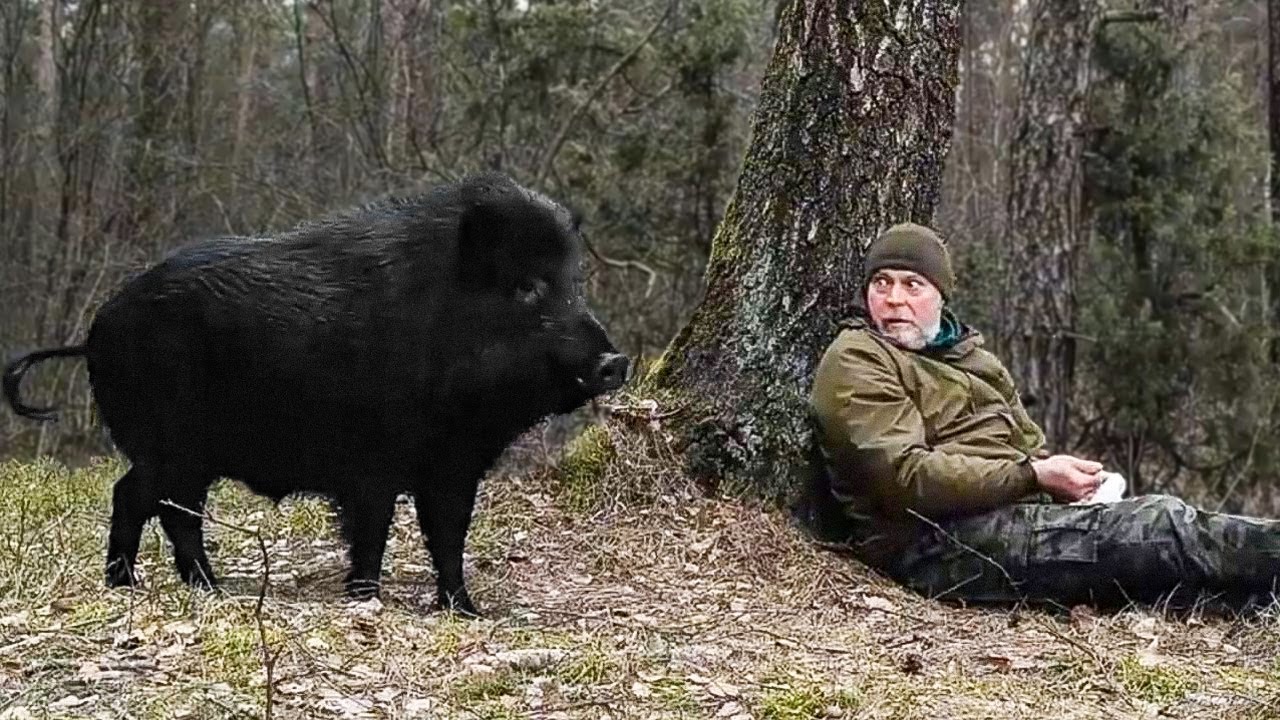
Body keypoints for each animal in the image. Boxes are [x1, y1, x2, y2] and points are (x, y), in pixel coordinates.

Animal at [3, 172, 629, 616]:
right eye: (525, 288)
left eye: (575, 284)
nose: (615, 361)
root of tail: (97, 328)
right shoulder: (373, 464)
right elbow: (374, 530)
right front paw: (365, 597)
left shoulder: (453, 467)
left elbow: (448, 537)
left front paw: (466, 610)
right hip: (170, 447)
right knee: (145, 500)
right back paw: (166, 586)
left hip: (183, 456)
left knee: (154, 504)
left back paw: (174, 586)